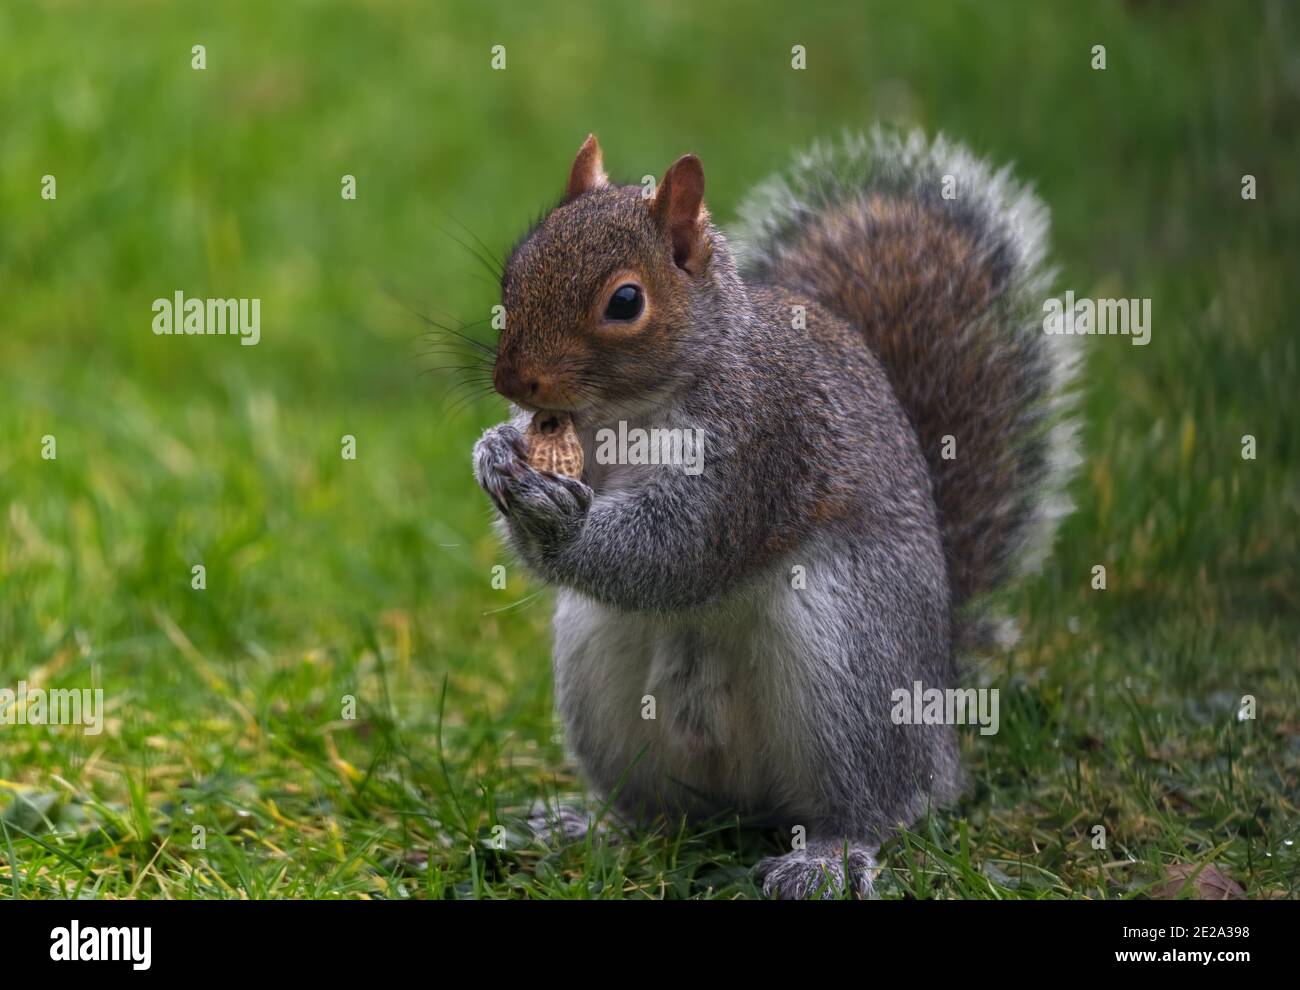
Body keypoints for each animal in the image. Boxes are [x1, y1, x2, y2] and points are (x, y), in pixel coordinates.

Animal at [472, 128, 1080, 898]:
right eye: (514, 270)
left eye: (626, 301)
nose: (511, 380)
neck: (624, 414)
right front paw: (496, 449)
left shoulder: (763, 445)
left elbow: (680, 549)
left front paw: (557, 522)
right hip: (598, 676)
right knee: (660, 813)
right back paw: (592, 827)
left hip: (850, 659)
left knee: (883, 803)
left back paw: (829, 856)